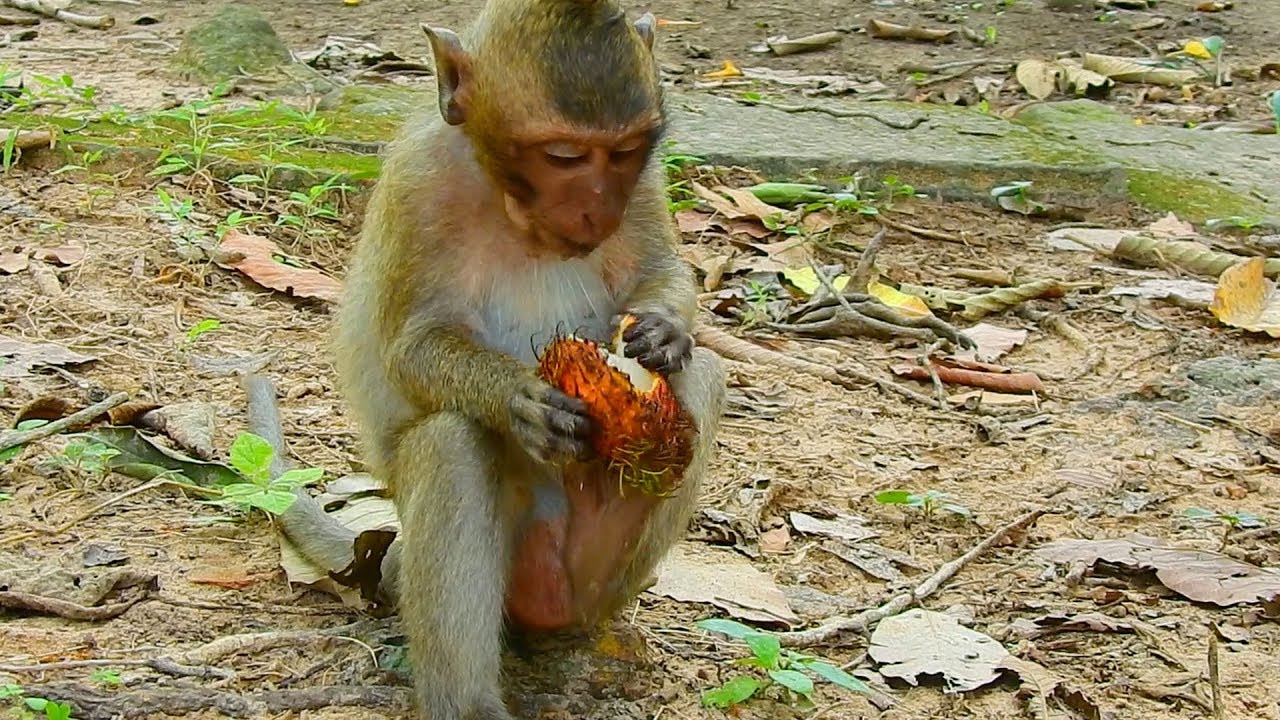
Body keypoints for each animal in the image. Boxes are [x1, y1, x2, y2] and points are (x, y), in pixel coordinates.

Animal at [276, 0, 728, 718]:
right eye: (563, 156)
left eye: (624, 152)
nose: (597, 208)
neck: (518, 213)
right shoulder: (421, 181)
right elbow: (414, 347)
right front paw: (517, 397)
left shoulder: (646, 184)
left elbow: (662, 274)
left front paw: (664, 333)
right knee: (452, 442)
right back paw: (466, 700)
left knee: (702, 381)